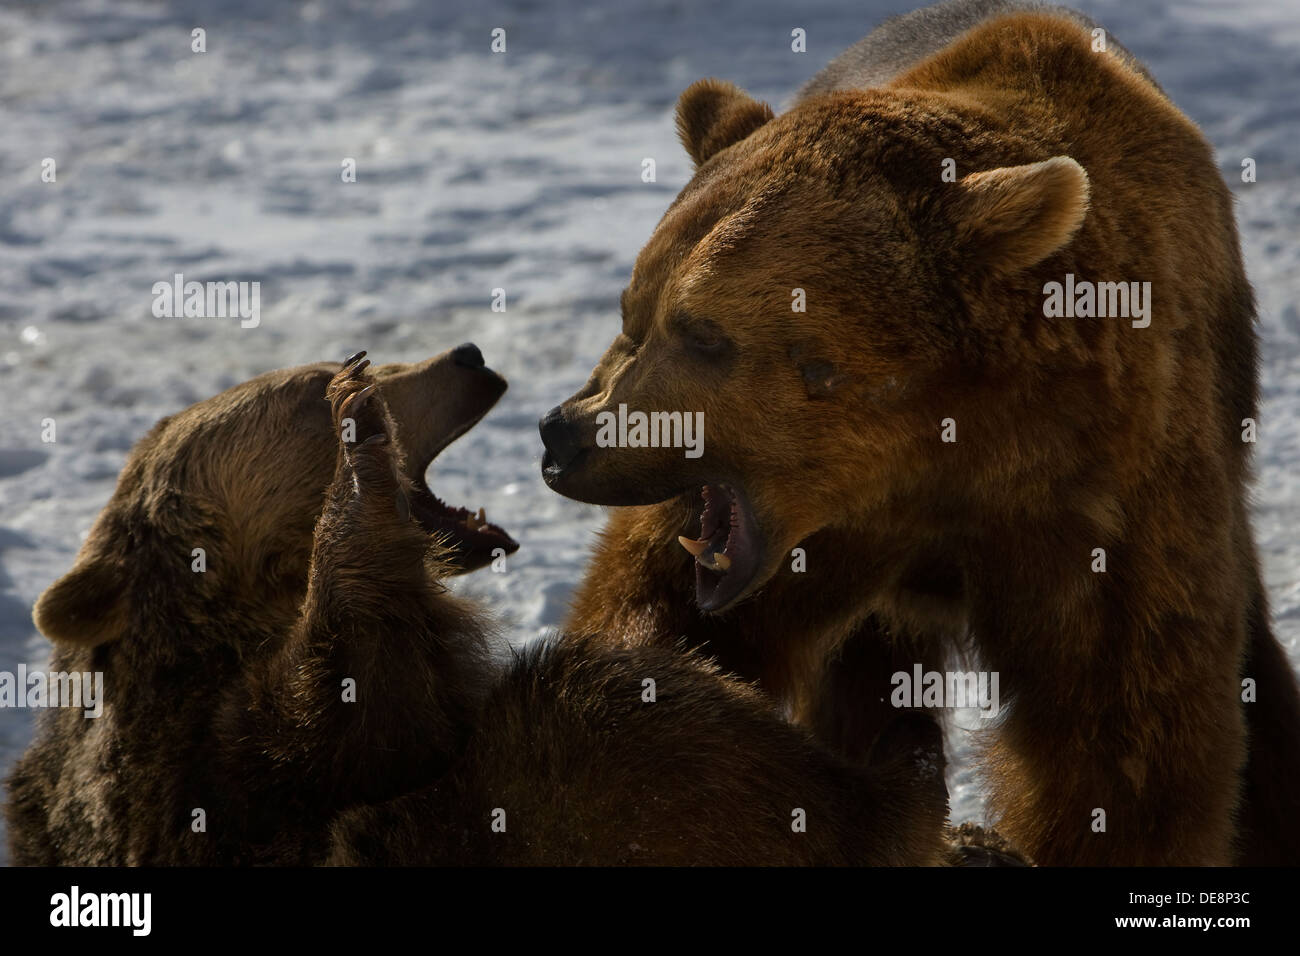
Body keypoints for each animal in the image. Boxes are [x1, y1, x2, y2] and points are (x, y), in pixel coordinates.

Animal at [538, 0, 1300, 865]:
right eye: (632, 313)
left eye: (704, 334)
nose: (563, 436)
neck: (935, 450)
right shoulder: (812, 537)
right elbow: (659, 635)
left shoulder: (1105, 489)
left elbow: (1122, 731)